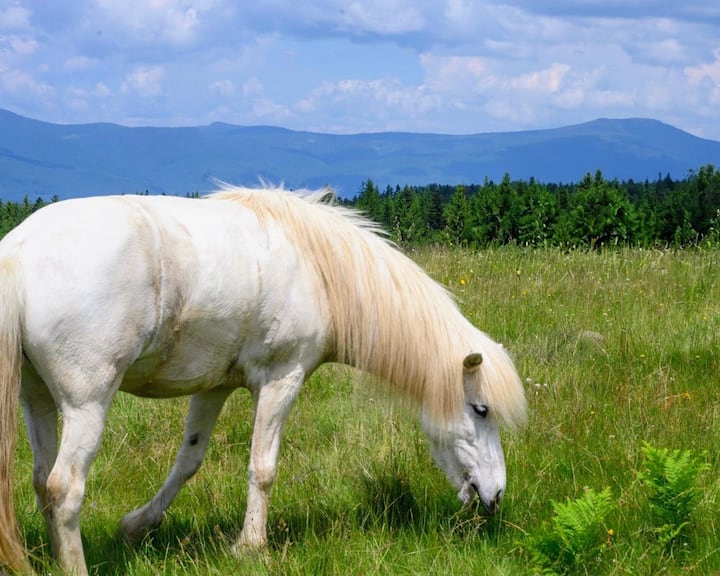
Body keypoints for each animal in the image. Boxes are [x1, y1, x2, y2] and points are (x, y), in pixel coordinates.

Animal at [0, 185, 527, 575]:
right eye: (480, 410)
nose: (497, 495)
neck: (321, 271)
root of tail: (20, 251)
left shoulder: (212, 386)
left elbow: (189, 459)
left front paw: (137, 526)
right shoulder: (282, 379)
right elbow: (263, 467)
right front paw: (251, 546)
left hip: (37, 399)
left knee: (42, 482)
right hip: (87, 404)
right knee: (64, 488)